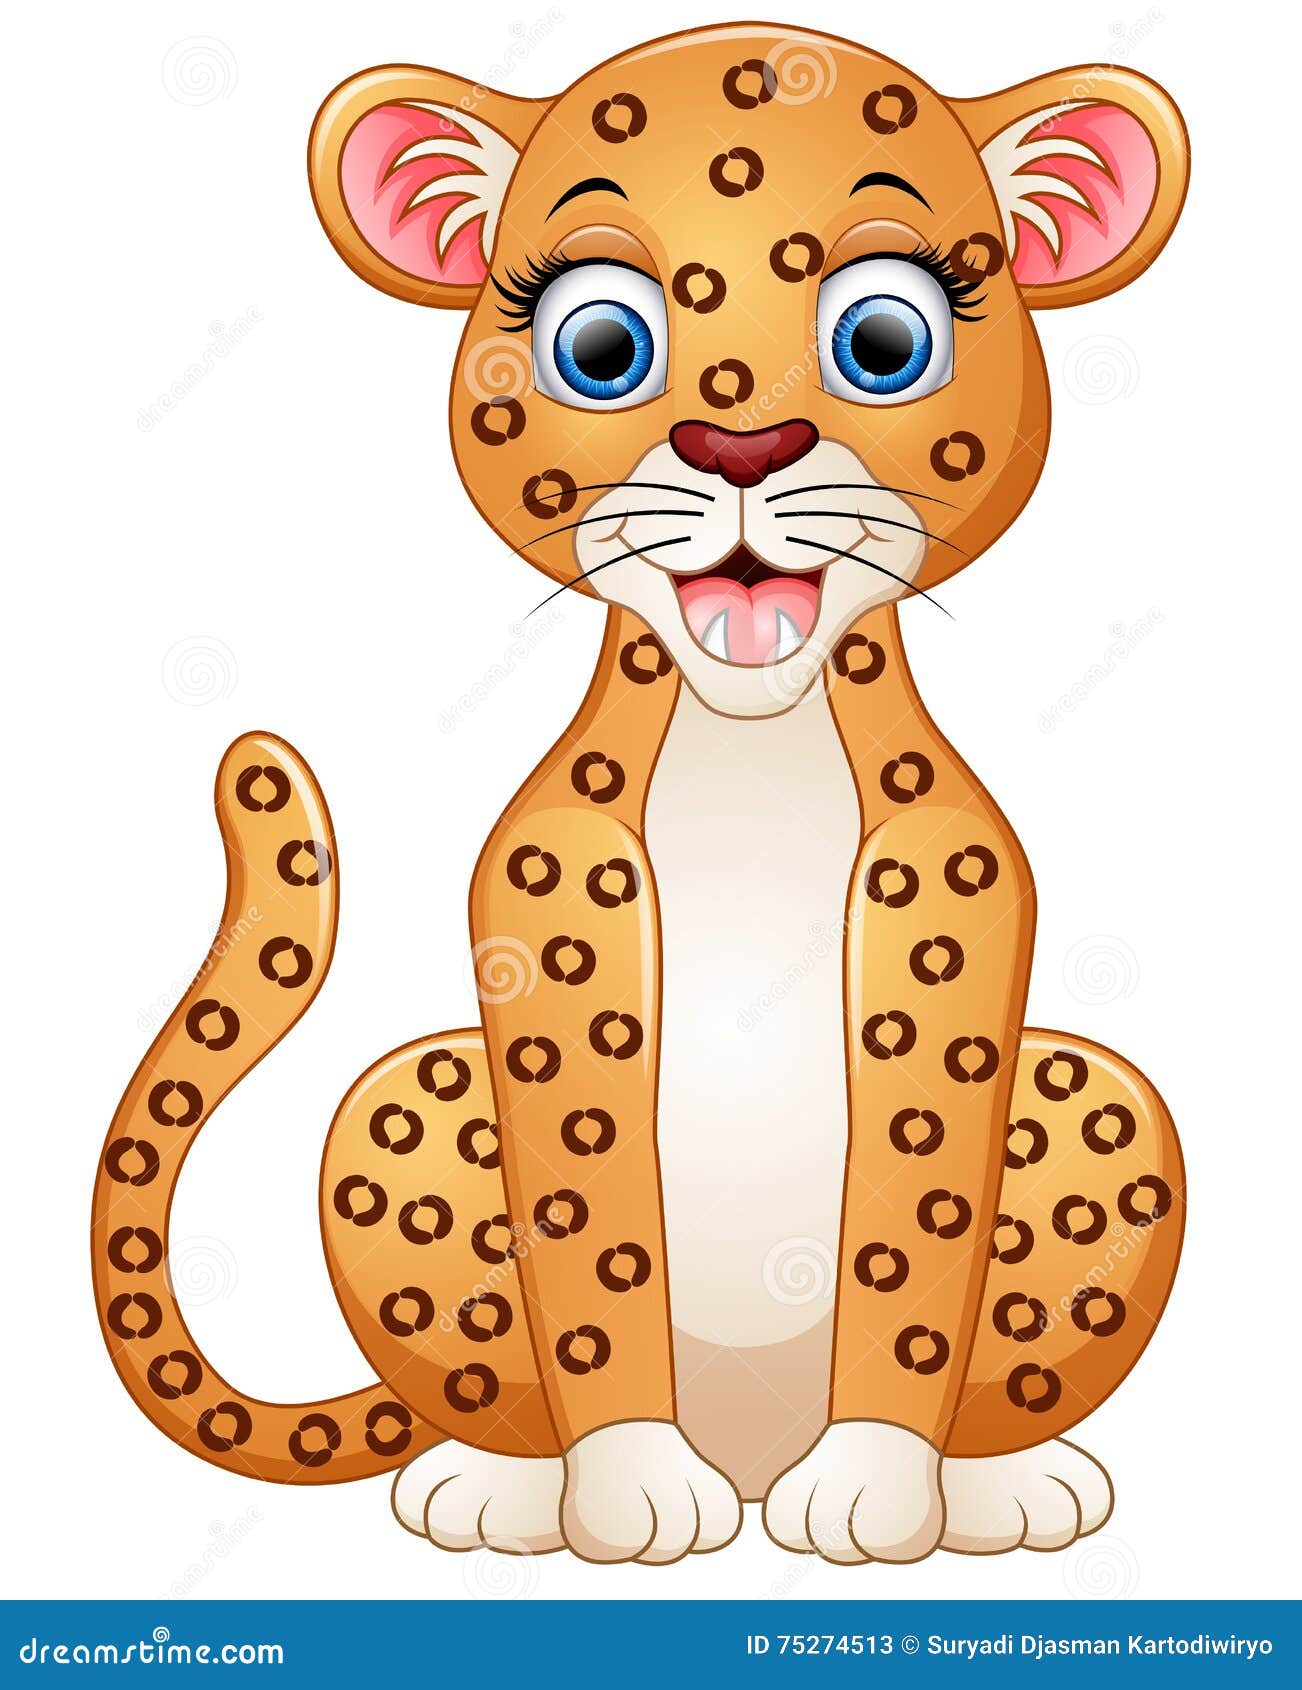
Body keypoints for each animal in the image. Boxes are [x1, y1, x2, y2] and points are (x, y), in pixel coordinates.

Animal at [93, 23, 1189, 1566]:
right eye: (600, 345)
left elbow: (908, 1252)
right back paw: (498, 1489)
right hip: (400, 1100)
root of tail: (752, 1458)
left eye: (885, 339)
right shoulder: (554, 928)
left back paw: (1003, 1486)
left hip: (1100, 1090)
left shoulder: (952, 935)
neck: (749, 752)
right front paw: (627, 1491)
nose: (741, 448)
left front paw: (875, 1487)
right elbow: (593, 1239)